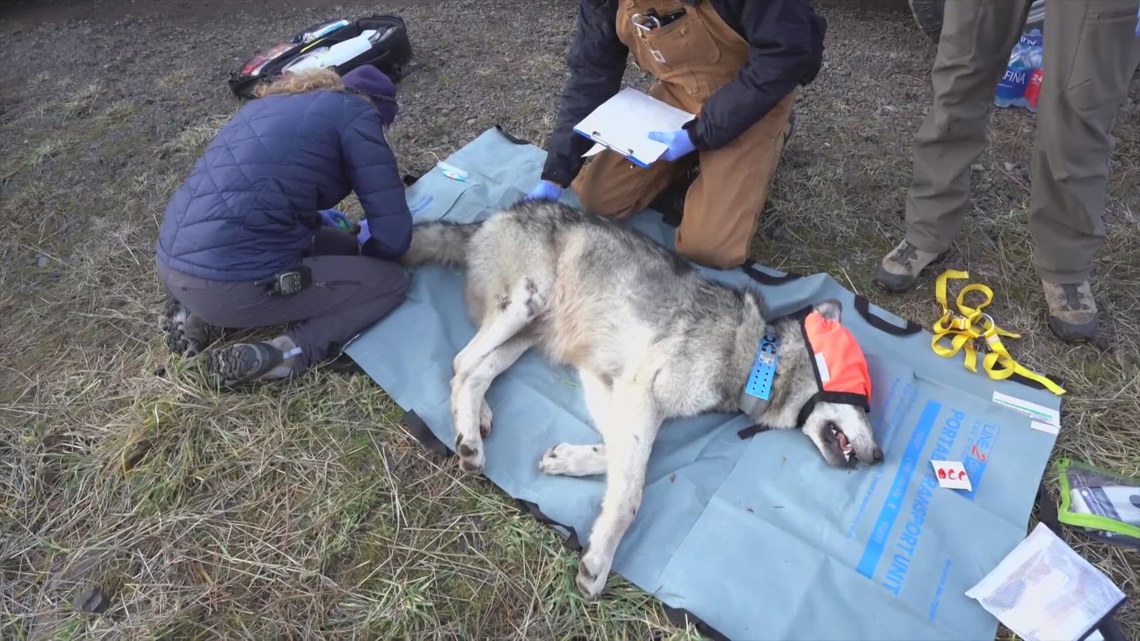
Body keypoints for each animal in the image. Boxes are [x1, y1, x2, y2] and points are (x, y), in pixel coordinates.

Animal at [398, 198, 885, 600]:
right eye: (863, 394)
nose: (881, 456)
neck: (757, 361)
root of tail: (492, 217)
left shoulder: (608, 382)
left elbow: (620, 455)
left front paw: (568, 459)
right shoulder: (638, 392)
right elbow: (633, 489)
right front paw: (598, 560)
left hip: (528, 336)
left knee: (471, 368)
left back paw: (475, 424)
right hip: (524, 305)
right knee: (463, 363)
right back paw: (469, 441)